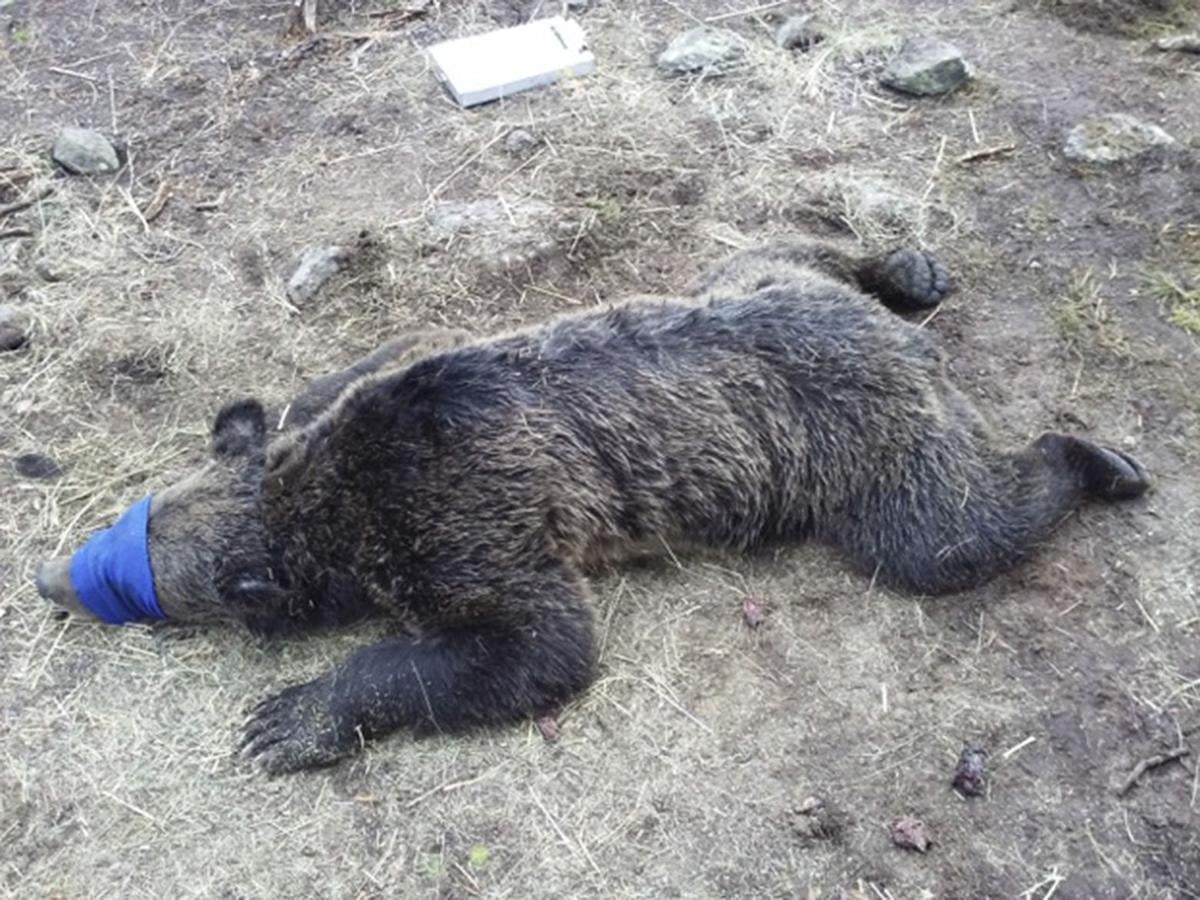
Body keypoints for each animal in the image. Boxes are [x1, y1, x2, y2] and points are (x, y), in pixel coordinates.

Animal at [34, 240, 1151, 774]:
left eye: (125, 578)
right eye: (116, 526)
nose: (47, 578)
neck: (331, 496)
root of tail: (903, 345)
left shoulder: (461, 527)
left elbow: (535, 648)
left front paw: (299, 715)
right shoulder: (378, 387)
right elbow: (354, 360)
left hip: (877, 454)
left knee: (952, 531)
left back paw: (1094, 457)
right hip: (757, 287)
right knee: (780, 246)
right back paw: (906, 268)